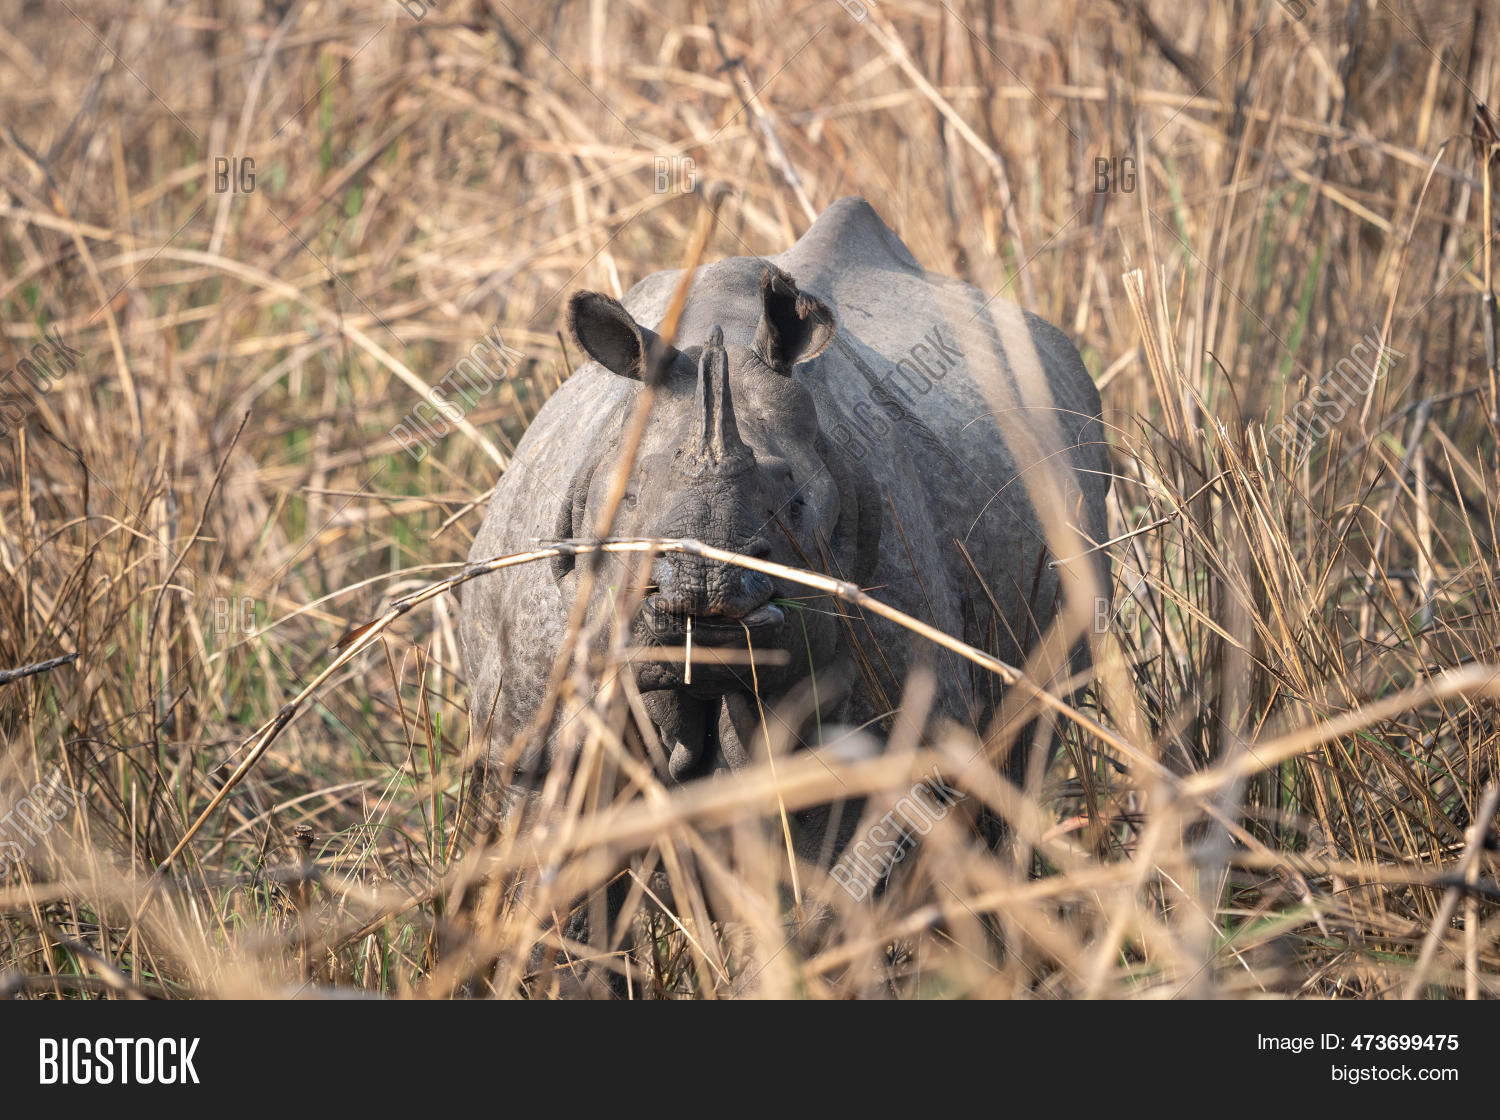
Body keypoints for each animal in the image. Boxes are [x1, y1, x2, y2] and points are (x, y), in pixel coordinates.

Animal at [459, 197, 1108, 975]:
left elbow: (816, 902)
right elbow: (560, 913)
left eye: (797, 505)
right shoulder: (535, 739)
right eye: (627, 499)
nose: (701, 592)